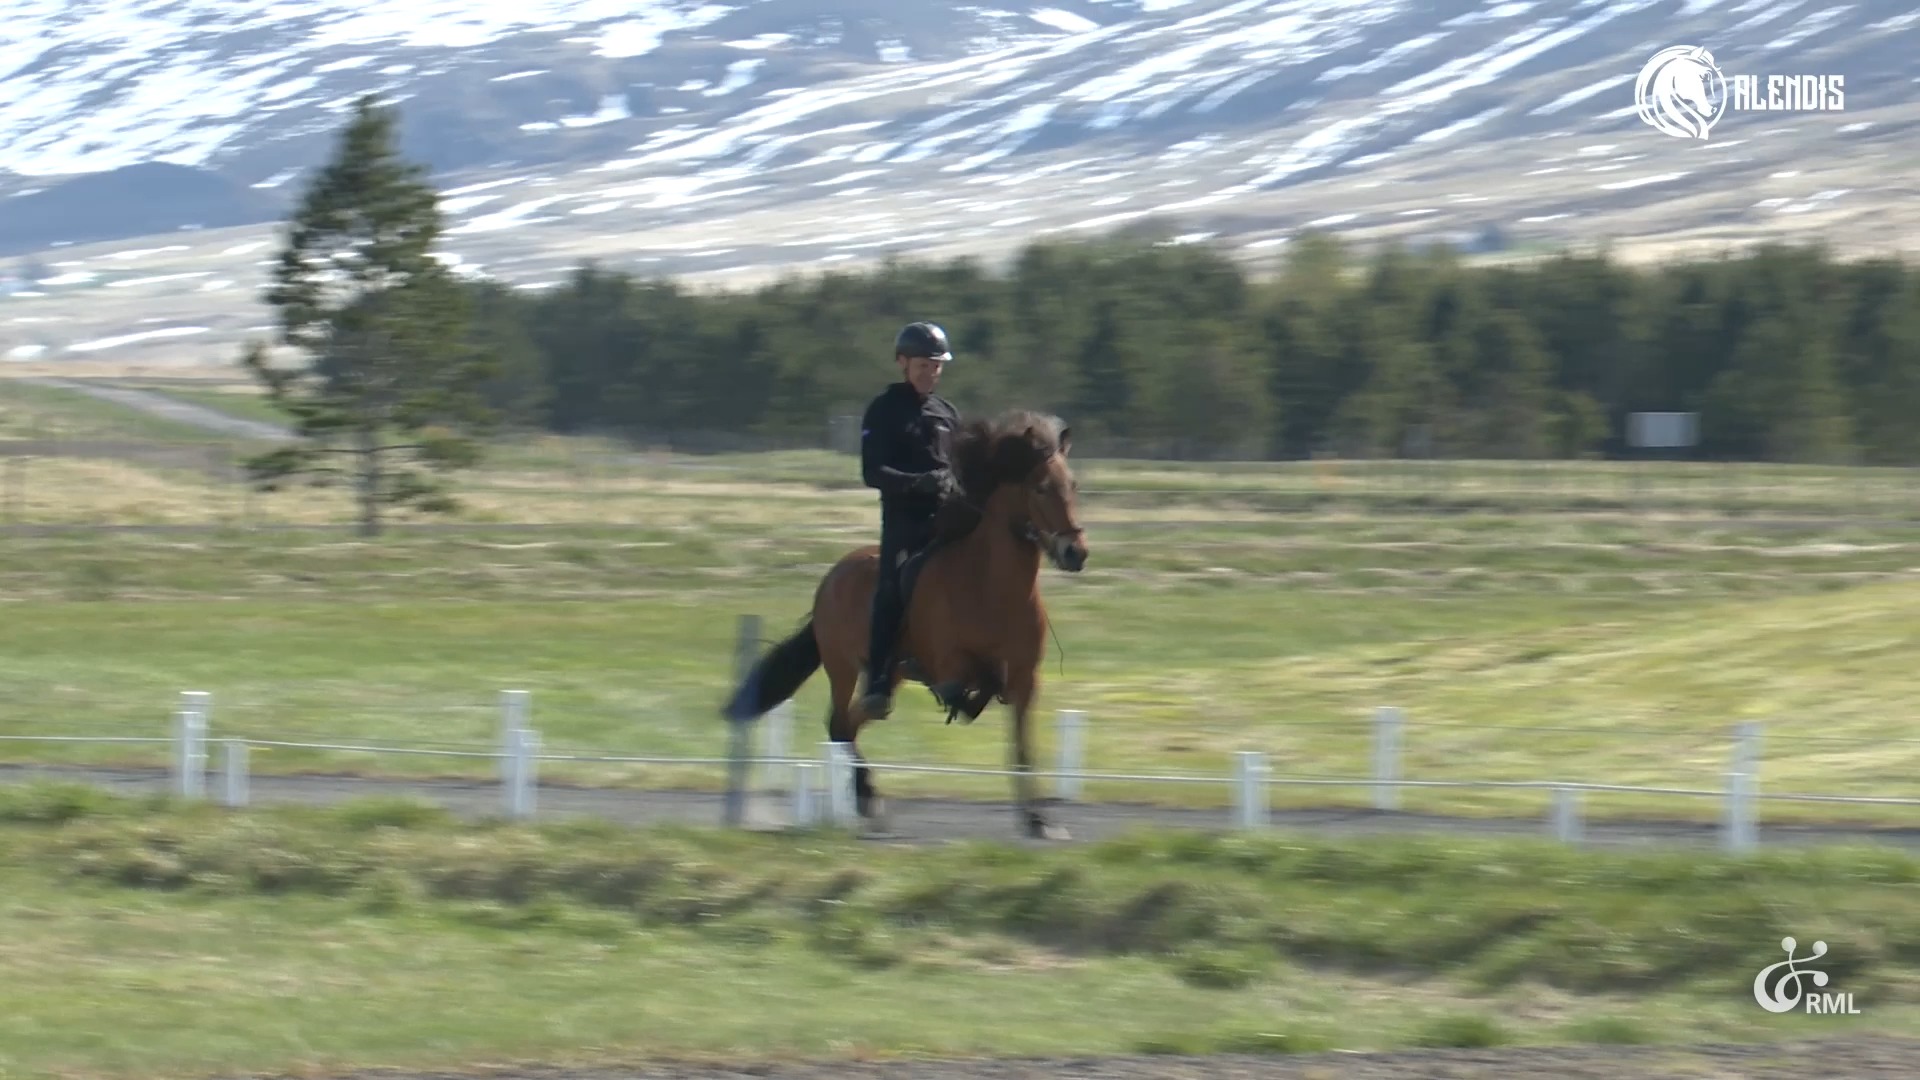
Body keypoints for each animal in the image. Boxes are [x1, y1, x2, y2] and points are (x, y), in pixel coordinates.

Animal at [721, 410, 1089, 840]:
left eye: (1073, 485)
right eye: (1041, 488)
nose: (1075, 552)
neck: (991, 585)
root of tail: (833, 574)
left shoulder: (1025, 679)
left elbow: (1022, 744)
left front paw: (1037, 819)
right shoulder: (951, 665)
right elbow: (968, 684)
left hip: (886, 674)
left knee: (855, 720)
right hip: (842, 667)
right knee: (842, 722)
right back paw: (868, 799)